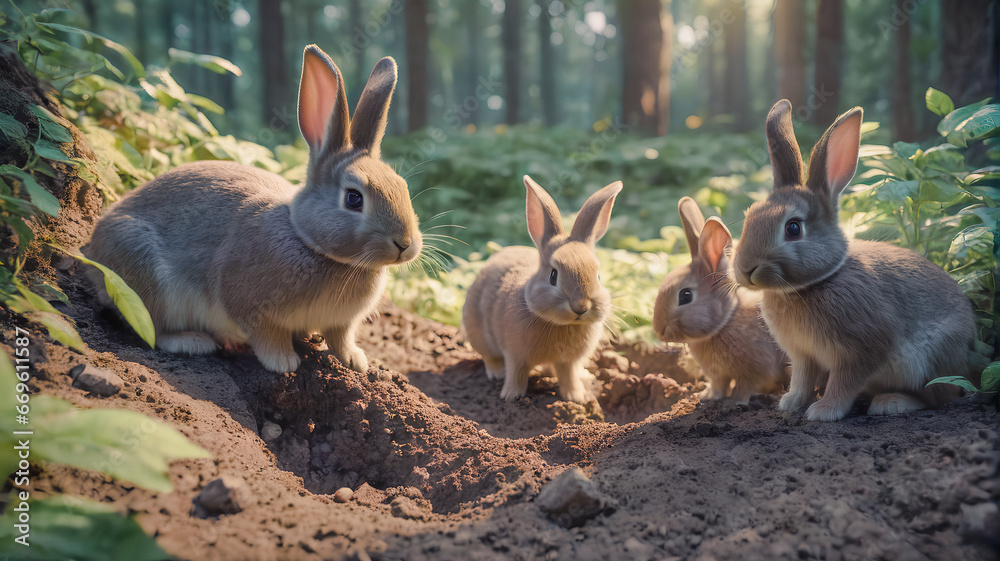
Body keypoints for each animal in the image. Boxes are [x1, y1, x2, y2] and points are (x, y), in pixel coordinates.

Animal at [82, 45, 422, 375]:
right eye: (354, 198)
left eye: (402, 187)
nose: (405, 244)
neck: (311, 243)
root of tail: (95, 254)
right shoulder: (250, 306)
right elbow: (267, 336)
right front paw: (283, 362)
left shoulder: (341, 323)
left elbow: (341, 338)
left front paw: (355, 361)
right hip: (145, 279)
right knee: (152, 328)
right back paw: (195, 341)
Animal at [462, 175, 622, 403]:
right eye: (553, 276)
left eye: (598, 276)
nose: (580, 307)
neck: (562, 325)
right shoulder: (515, 355)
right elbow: (516, 373)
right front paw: (511, 396)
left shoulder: (568, 361)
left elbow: (568, 375)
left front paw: (576, 397)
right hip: (478, 333)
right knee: (489, 357)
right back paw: (497, 373)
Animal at [652, 197, 789, 403]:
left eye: (685, 296)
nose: (659, 331)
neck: (724, 324)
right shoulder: (717, 374)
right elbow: (719, 385)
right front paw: (707, 396)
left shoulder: (756, 367)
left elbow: (745, 386)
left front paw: (734, 402)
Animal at [731, 99, 977, 422]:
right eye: (749, 215)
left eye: (793, 228)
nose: (745, 269)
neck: (813, 284)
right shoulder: (804, 355)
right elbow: (802, 378)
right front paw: (791, 403)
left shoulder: (862, 349)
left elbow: (844, 381)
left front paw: (824, 411)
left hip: (927, 363)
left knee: (940, 395)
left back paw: (892, 402)